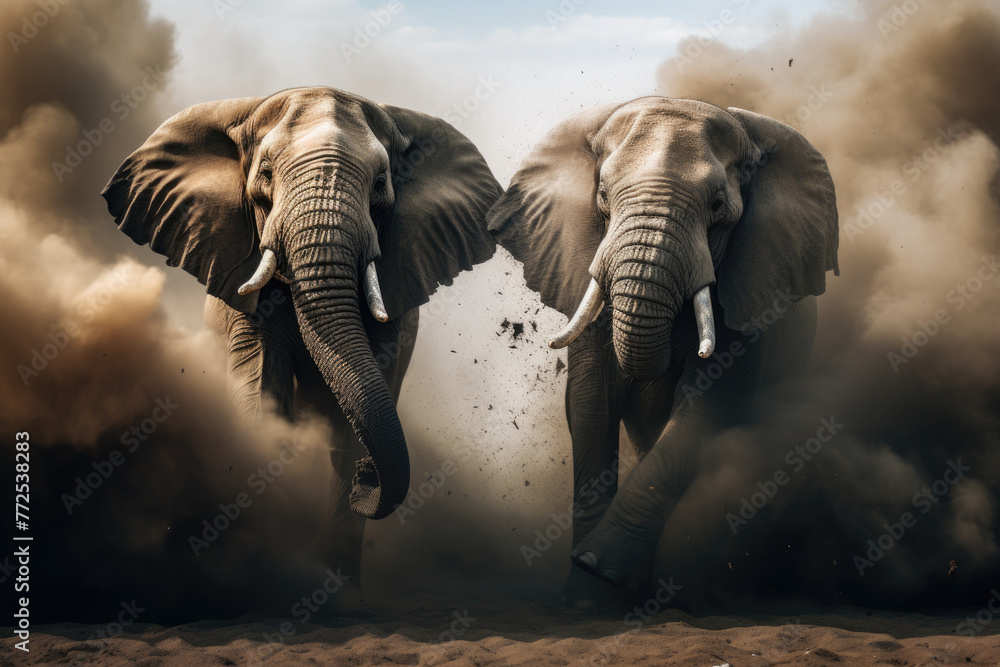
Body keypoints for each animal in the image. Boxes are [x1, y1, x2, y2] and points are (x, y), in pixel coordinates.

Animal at [102, 86, 502, 584]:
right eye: (266, 175)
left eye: (380, 185)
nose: (368, 480)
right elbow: (261, 395)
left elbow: (356, 420)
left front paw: (334, 578)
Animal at [488, 97, 838, 602]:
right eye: (602, 196)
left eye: (719, 207)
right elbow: (590, 403)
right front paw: (584, 593)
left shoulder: (749, 299)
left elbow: (708, 409)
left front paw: (602, 570)